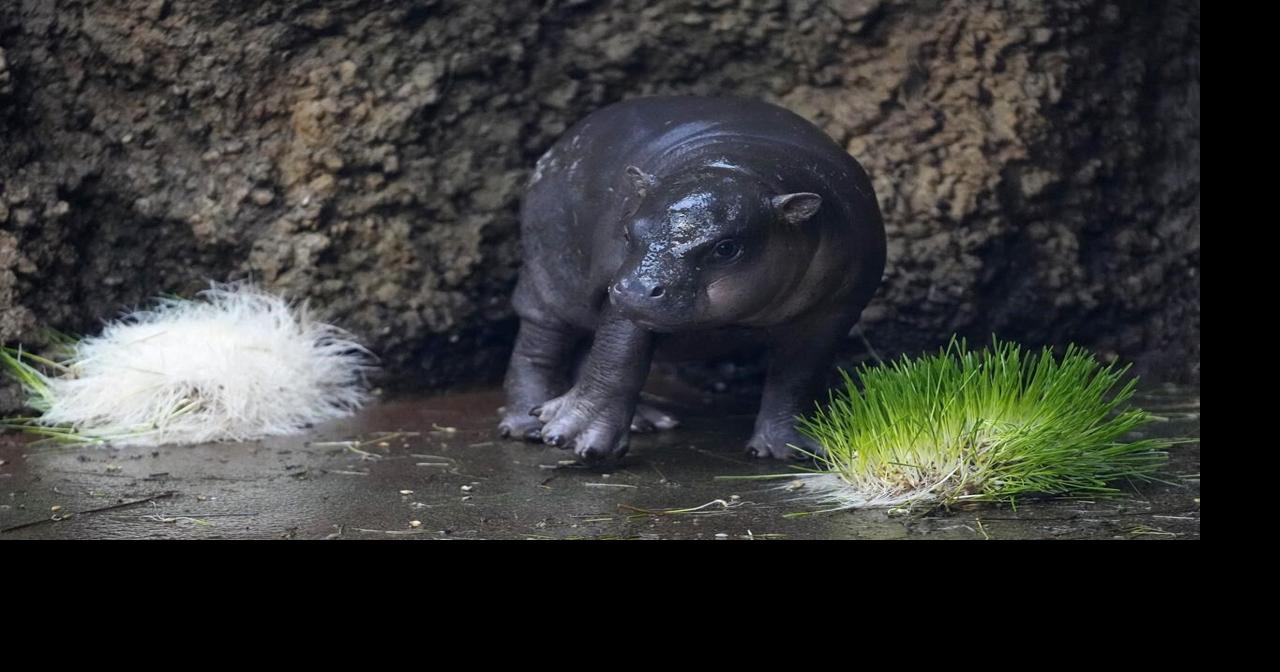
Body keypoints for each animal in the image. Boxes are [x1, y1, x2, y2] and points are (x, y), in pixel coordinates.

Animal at [498, 96, 886, 461]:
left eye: (727, 248)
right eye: (628, 231)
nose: (634, 288)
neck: (741, 167)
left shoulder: (837, 309)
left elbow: (798, 376)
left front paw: (788, 450)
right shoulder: (622, 291)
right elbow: (617, 357)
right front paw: (574, 436)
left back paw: (645, 422)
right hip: (550, 279)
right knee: (537, 346)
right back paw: (527, 425)